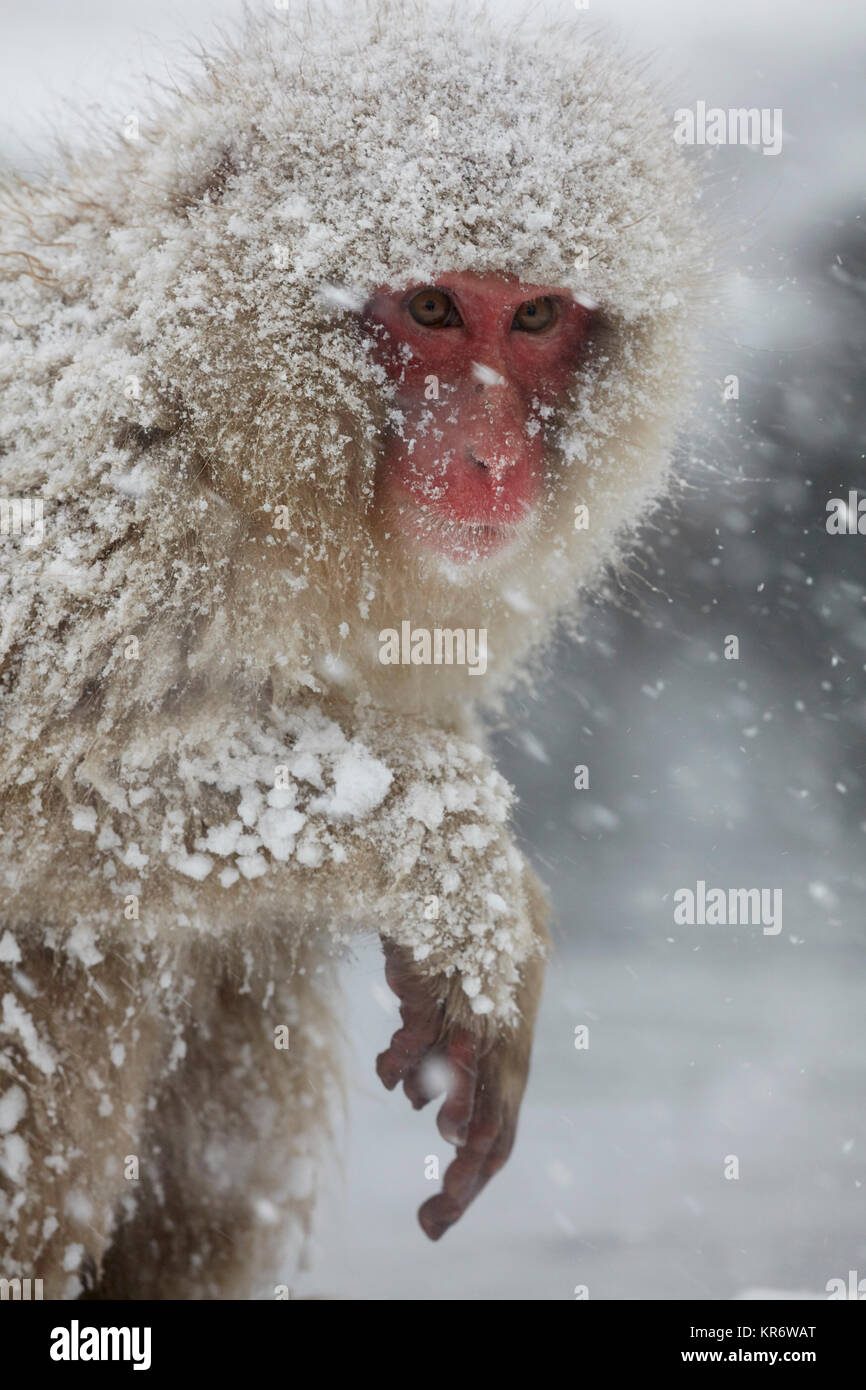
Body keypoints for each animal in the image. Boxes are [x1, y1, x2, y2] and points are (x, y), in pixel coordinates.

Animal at [0, 1, 703, 1298]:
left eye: (534, 316)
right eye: (430, 310)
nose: (489, 459)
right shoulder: (92, 495)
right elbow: (38, 775)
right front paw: (463, 872)